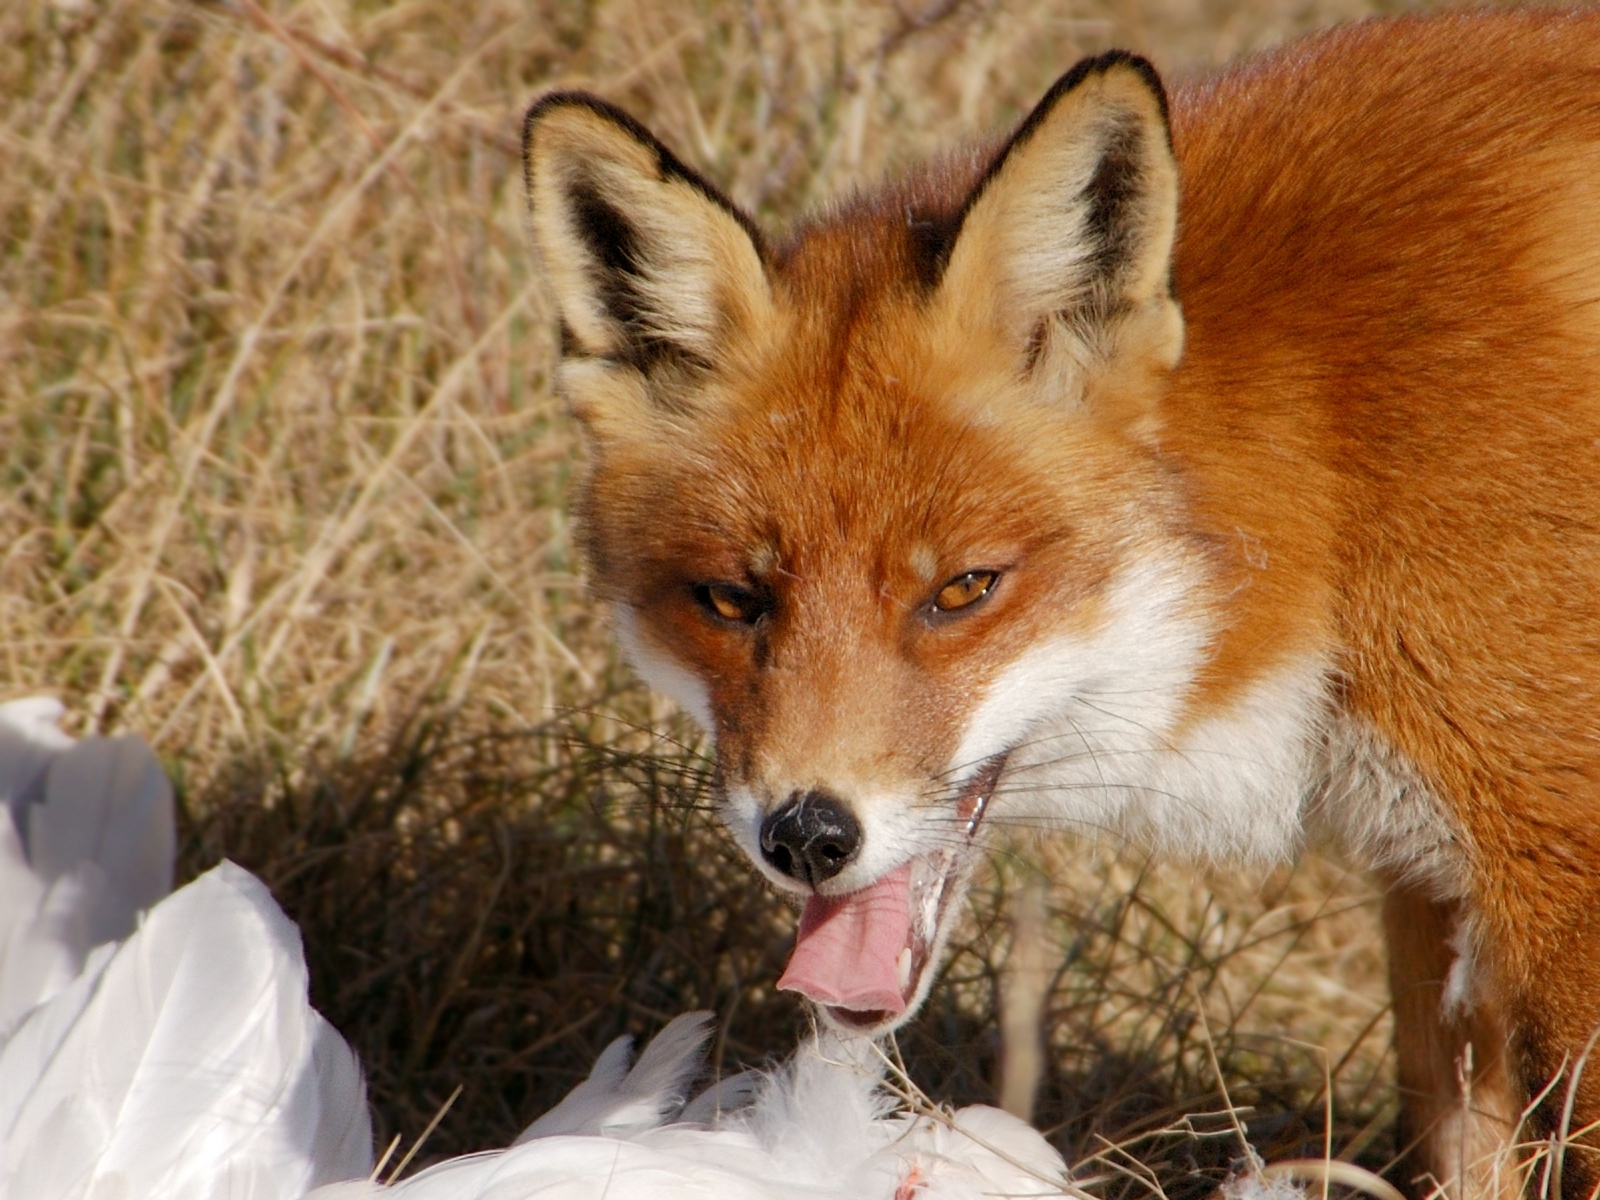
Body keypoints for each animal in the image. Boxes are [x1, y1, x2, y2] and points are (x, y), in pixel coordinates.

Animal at [521, 8, 1600, 1197]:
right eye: (729, 599)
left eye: (962, 589)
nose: (807, 836)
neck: (1336, 449)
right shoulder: (1431, 876)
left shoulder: (1558, 868)